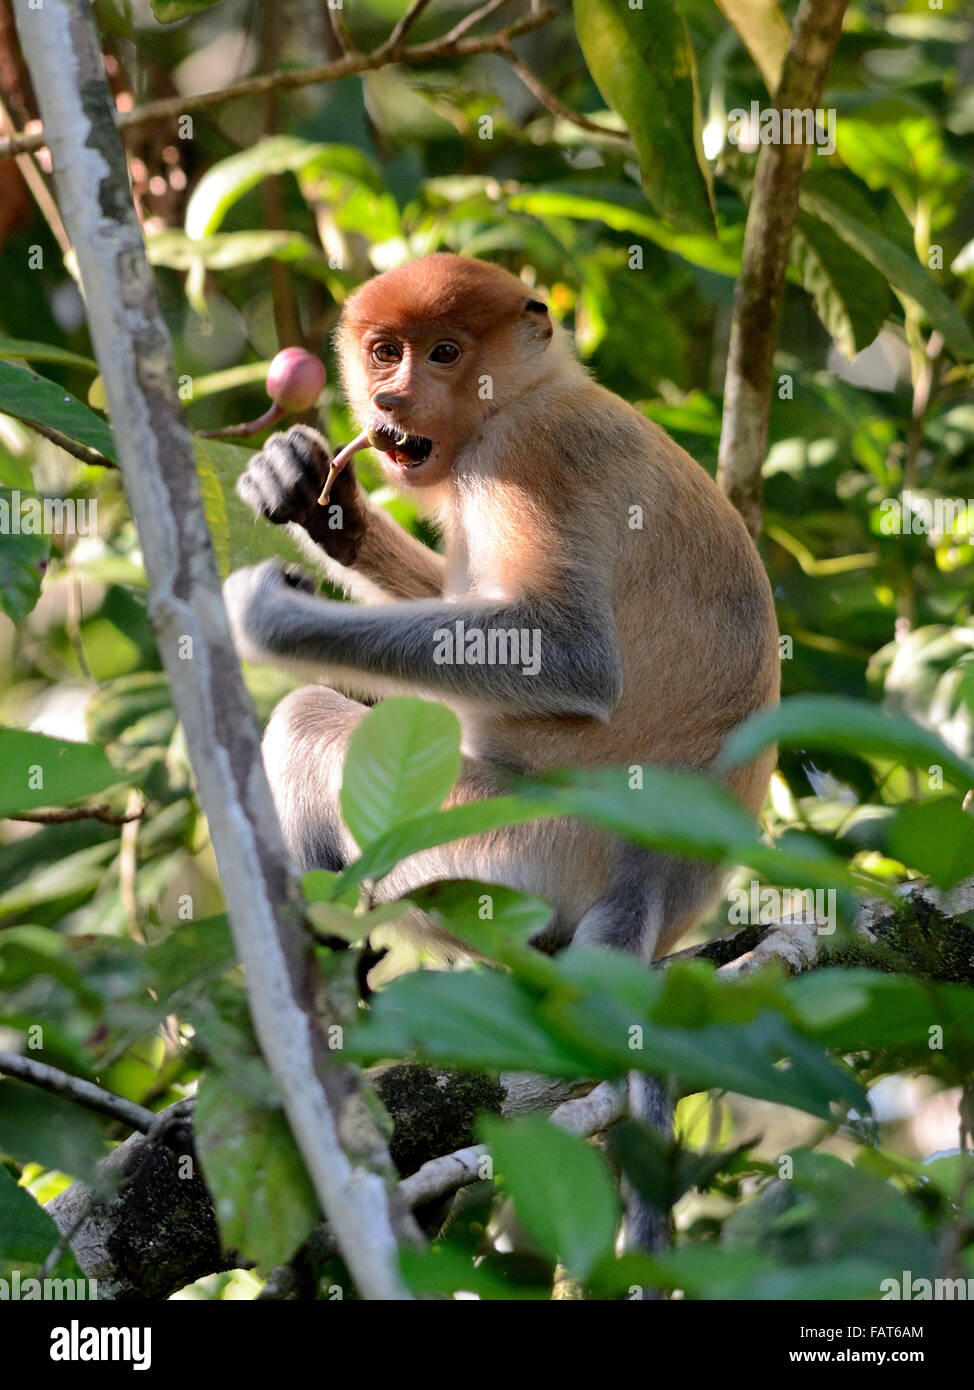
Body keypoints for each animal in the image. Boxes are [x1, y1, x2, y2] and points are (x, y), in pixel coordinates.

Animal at [222, 252, 779, 1251]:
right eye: (386, 350)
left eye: (445, 352)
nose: (392, 398)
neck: (534, 387)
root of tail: (653, 872)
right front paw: (312, 499)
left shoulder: (523, 457)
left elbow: (569, 657)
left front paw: (271, 615)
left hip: (514, 847)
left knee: (306, 725)